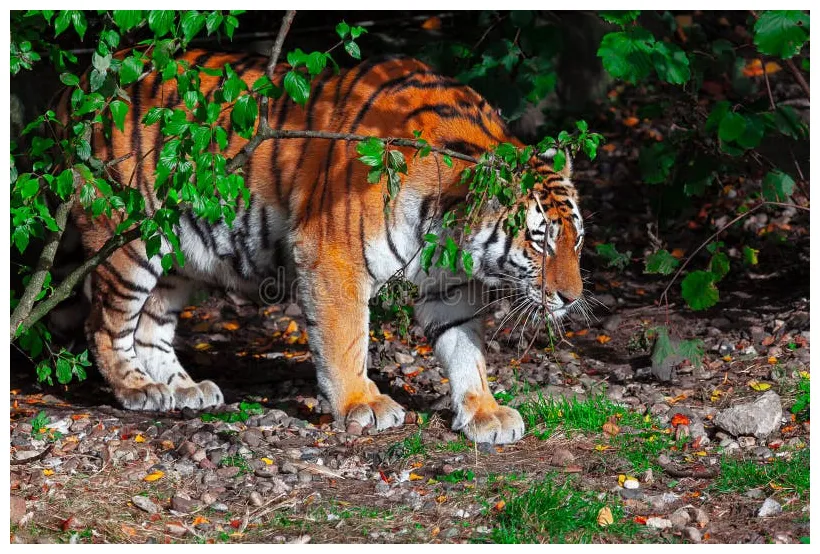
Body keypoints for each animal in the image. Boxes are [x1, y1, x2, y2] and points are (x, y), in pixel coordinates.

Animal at [65, 49, 585, 445]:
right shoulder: (333, 255)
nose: (571, 298)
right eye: (540, 241)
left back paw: (183, 389)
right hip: (127, 239)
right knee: (103, 324)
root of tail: (82, 87)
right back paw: (138, 390)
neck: (449, 229)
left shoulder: (449, 284)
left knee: (151, 324)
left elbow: (464, 349)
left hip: (178, 253)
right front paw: (363, 403)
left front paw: (485, 412)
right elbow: (346, 337)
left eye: (576, 239)